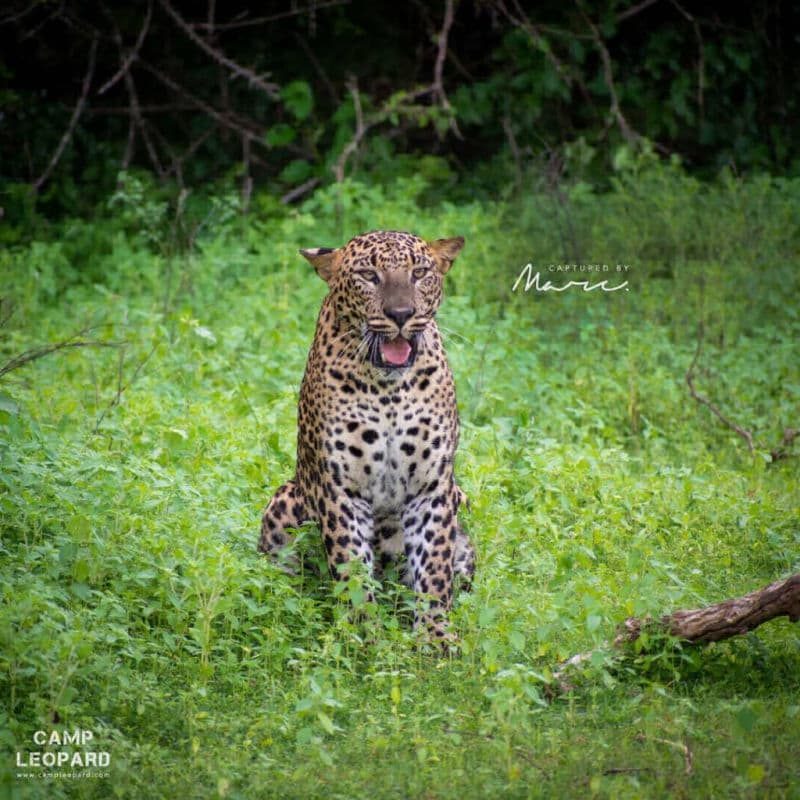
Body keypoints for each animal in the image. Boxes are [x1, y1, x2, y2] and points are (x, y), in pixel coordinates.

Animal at [258, 229, 475, 642]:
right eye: (368, 276)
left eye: (419, 273)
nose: (401, 315)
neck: (387, 389)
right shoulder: (340, 487)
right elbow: (353, 567)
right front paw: (363, 636)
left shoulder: (433, 487)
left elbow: (434, 569)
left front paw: (435, 637)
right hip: (283, 501)